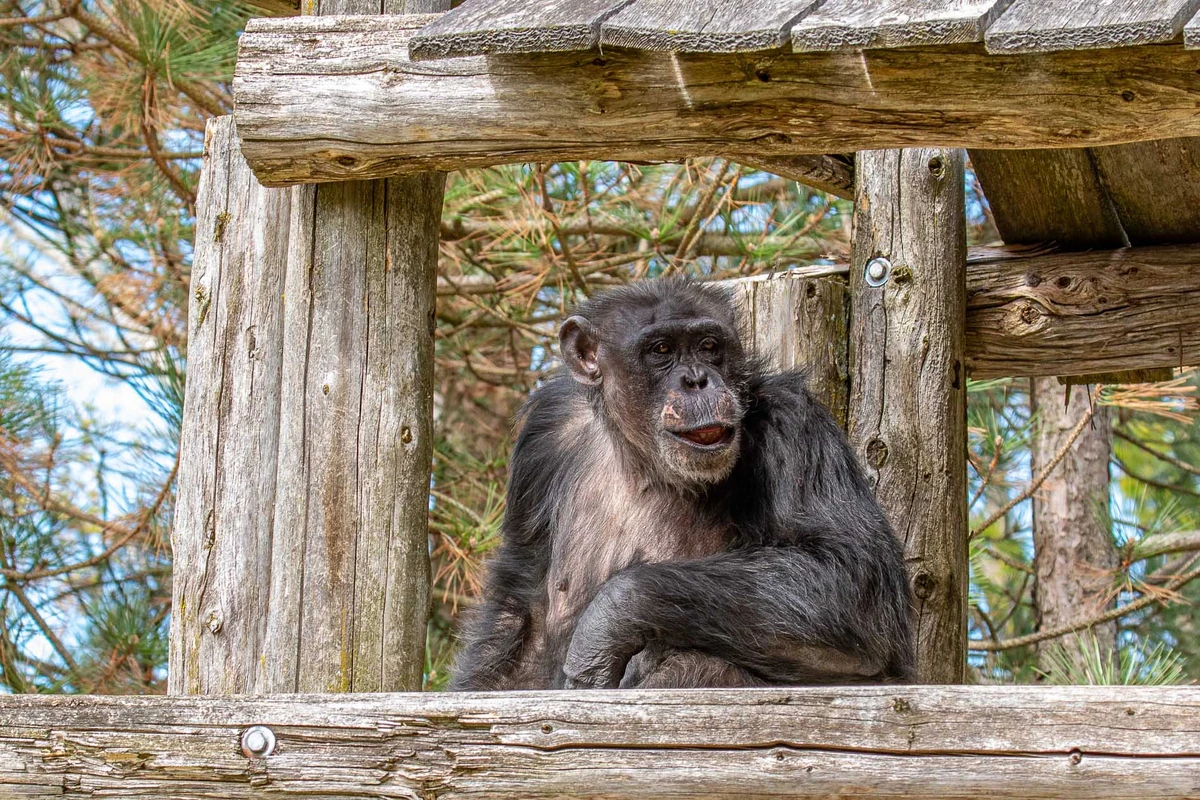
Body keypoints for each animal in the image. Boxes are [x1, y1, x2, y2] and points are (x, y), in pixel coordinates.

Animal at [449, 277, 913, 690]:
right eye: (662, 350)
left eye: (708, 346)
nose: (697, 379)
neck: (642, 459)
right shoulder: (545, 433)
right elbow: (522, 611)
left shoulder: (794, 423)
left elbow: (849, 576)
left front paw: (603, 631)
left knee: (692, 669)